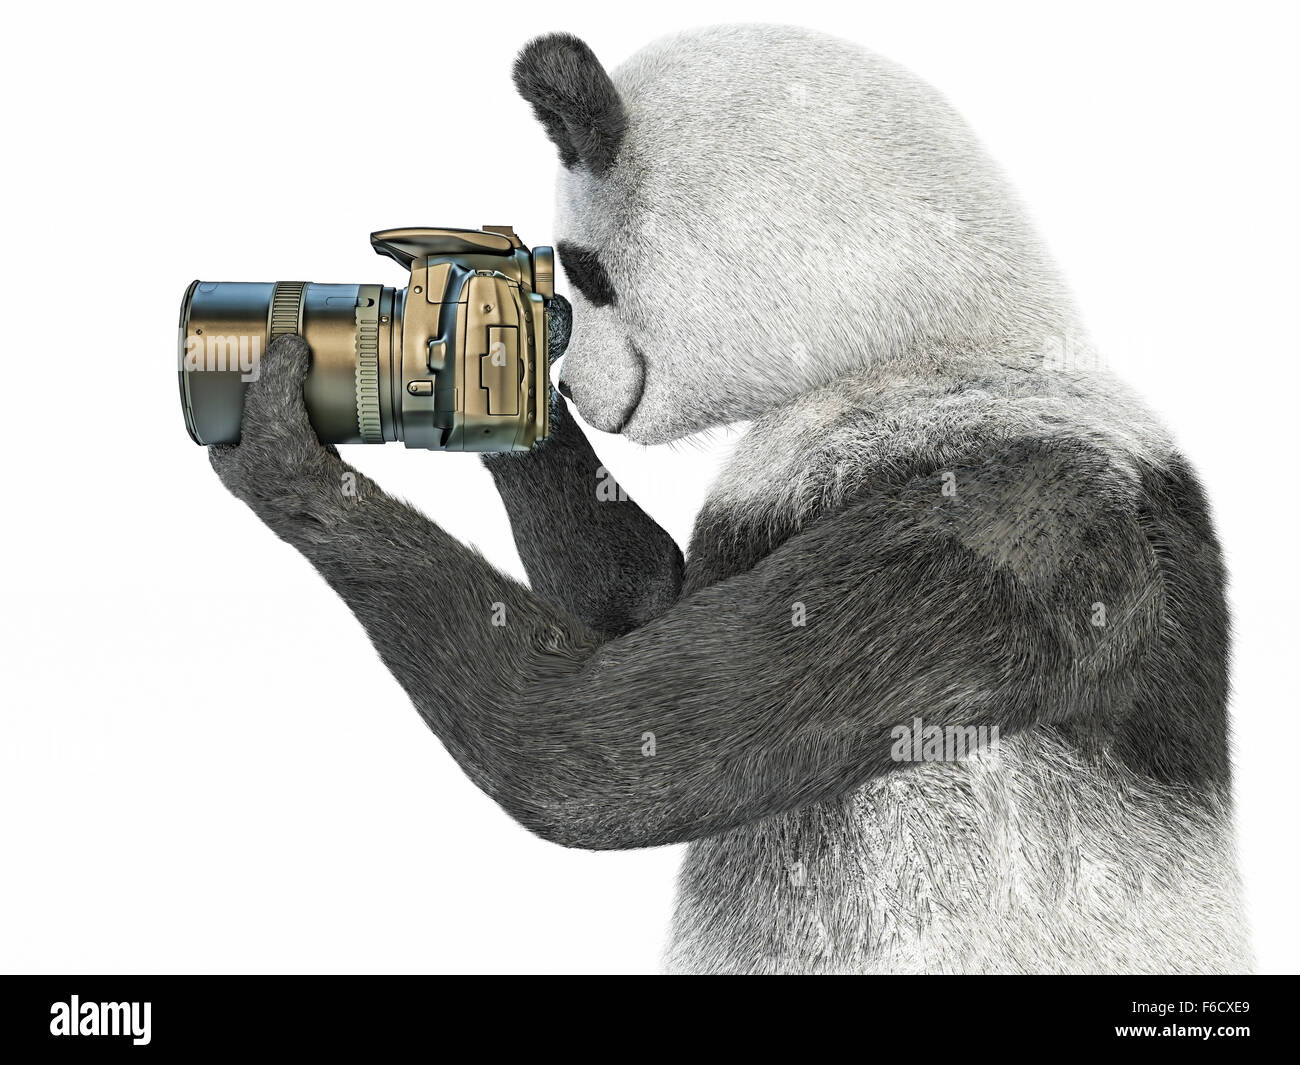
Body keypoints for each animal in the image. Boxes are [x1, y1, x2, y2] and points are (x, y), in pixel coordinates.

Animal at [210, 25, 1252, 973]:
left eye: (586, 272)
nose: (572, 382)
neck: (922, 344)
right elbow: (642, 610)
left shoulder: (1001, 523)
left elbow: (612, 743)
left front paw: (284, 446)